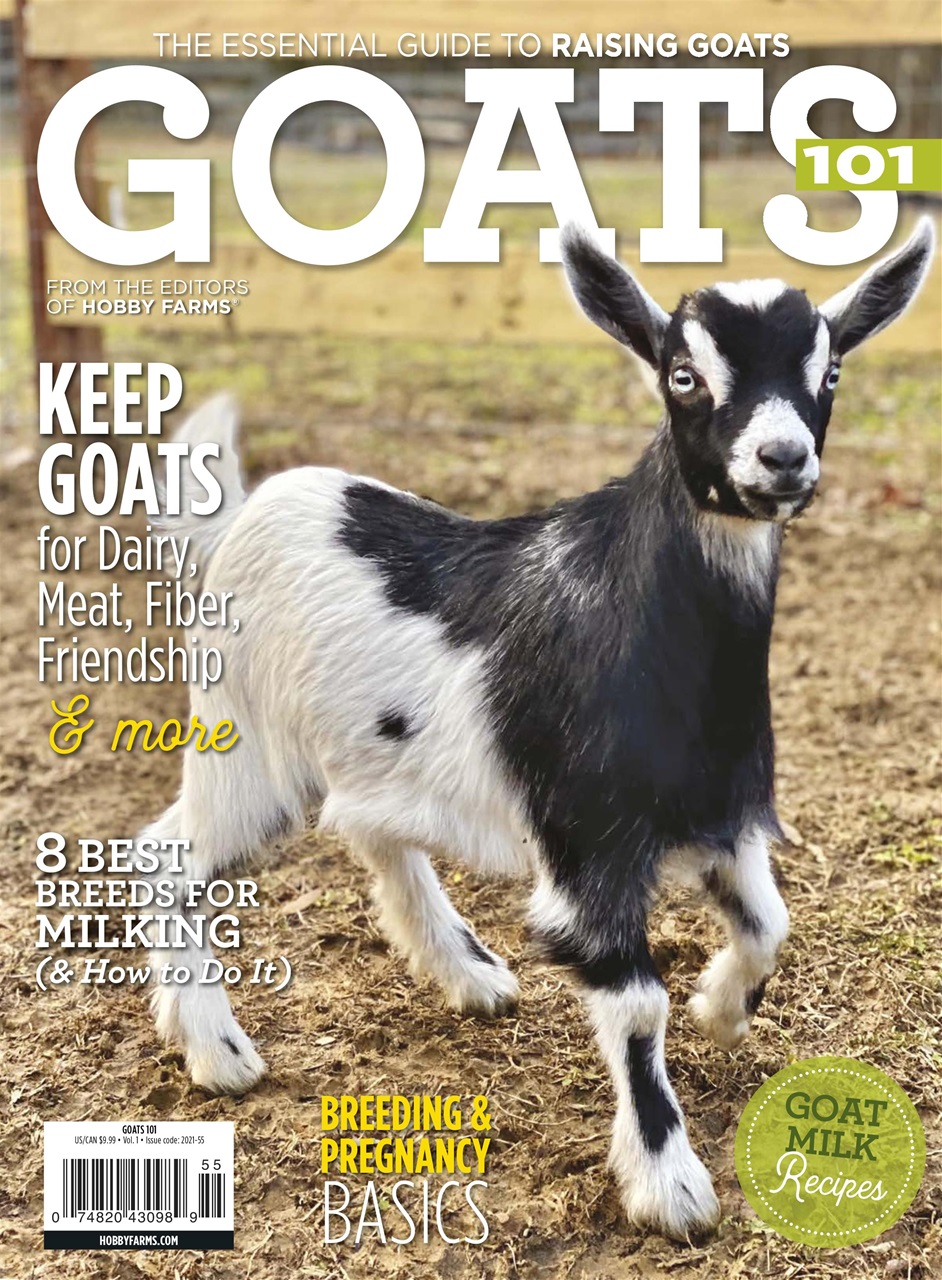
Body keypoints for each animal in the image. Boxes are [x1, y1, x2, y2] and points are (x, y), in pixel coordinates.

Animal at [137, 217, 933, 1238]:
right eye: (682, 373)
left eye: (829, 371)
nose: (781, 460)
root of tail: (247, 511)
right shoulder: (590, 847)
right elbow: (635, 1006)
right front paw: (669, 1184)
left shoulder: (721, 814)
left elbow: (770, 926)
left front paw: (722, 1008)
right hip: (241, 737)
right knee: (172, 854)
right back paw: (216, 1050)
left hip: (372, 748)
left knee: (369, 830)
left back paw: (469, 975)